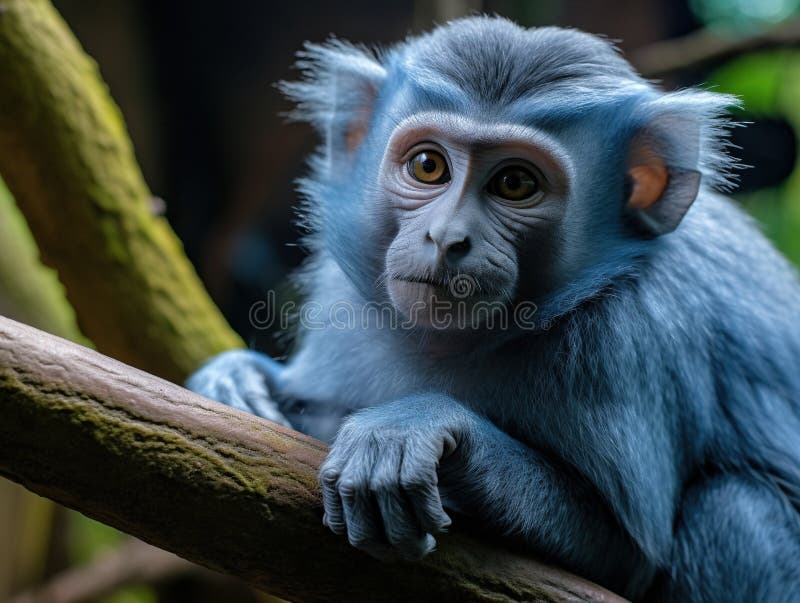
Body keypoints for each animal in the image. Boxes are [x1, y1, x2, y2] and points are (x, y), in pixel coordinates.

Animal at [186, 16, 800, 602]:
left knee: (735, 510)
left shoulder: (623, 341)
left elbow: (624, 555)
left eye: (515, 182)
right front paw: (238, 378)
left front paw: (414, 426)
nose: (446, 237)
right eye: (428, 166)